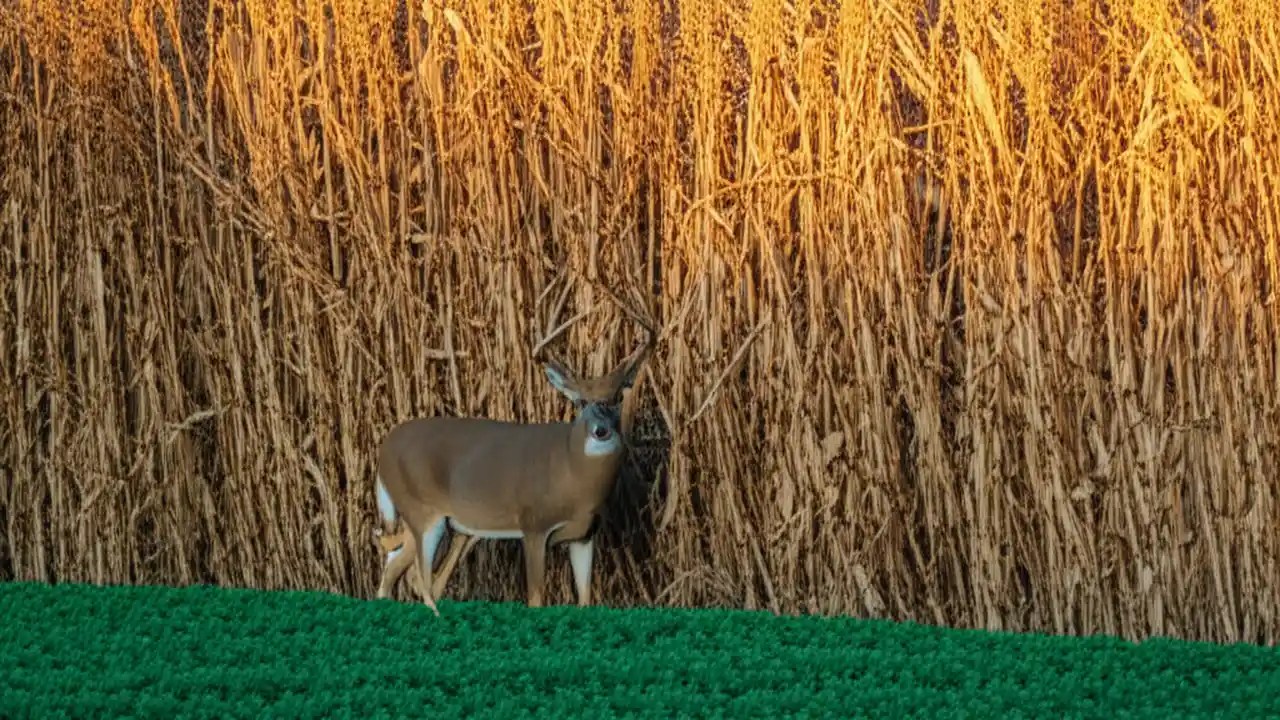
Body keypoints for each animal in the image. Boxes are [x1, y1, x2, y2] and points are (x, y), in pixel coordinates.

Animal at [372, 330, 653, 615]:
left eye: (617, 399)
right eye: (580, 401)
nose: (601, 430)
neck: (573, 478)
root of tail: (383, 451)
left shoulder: (585, 534)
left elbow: (586, 599)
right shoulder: (534, 525)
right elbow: (536, 599)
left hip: (446, 525)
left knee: (399, 568)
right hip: (422, 511)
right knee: (418, 577)